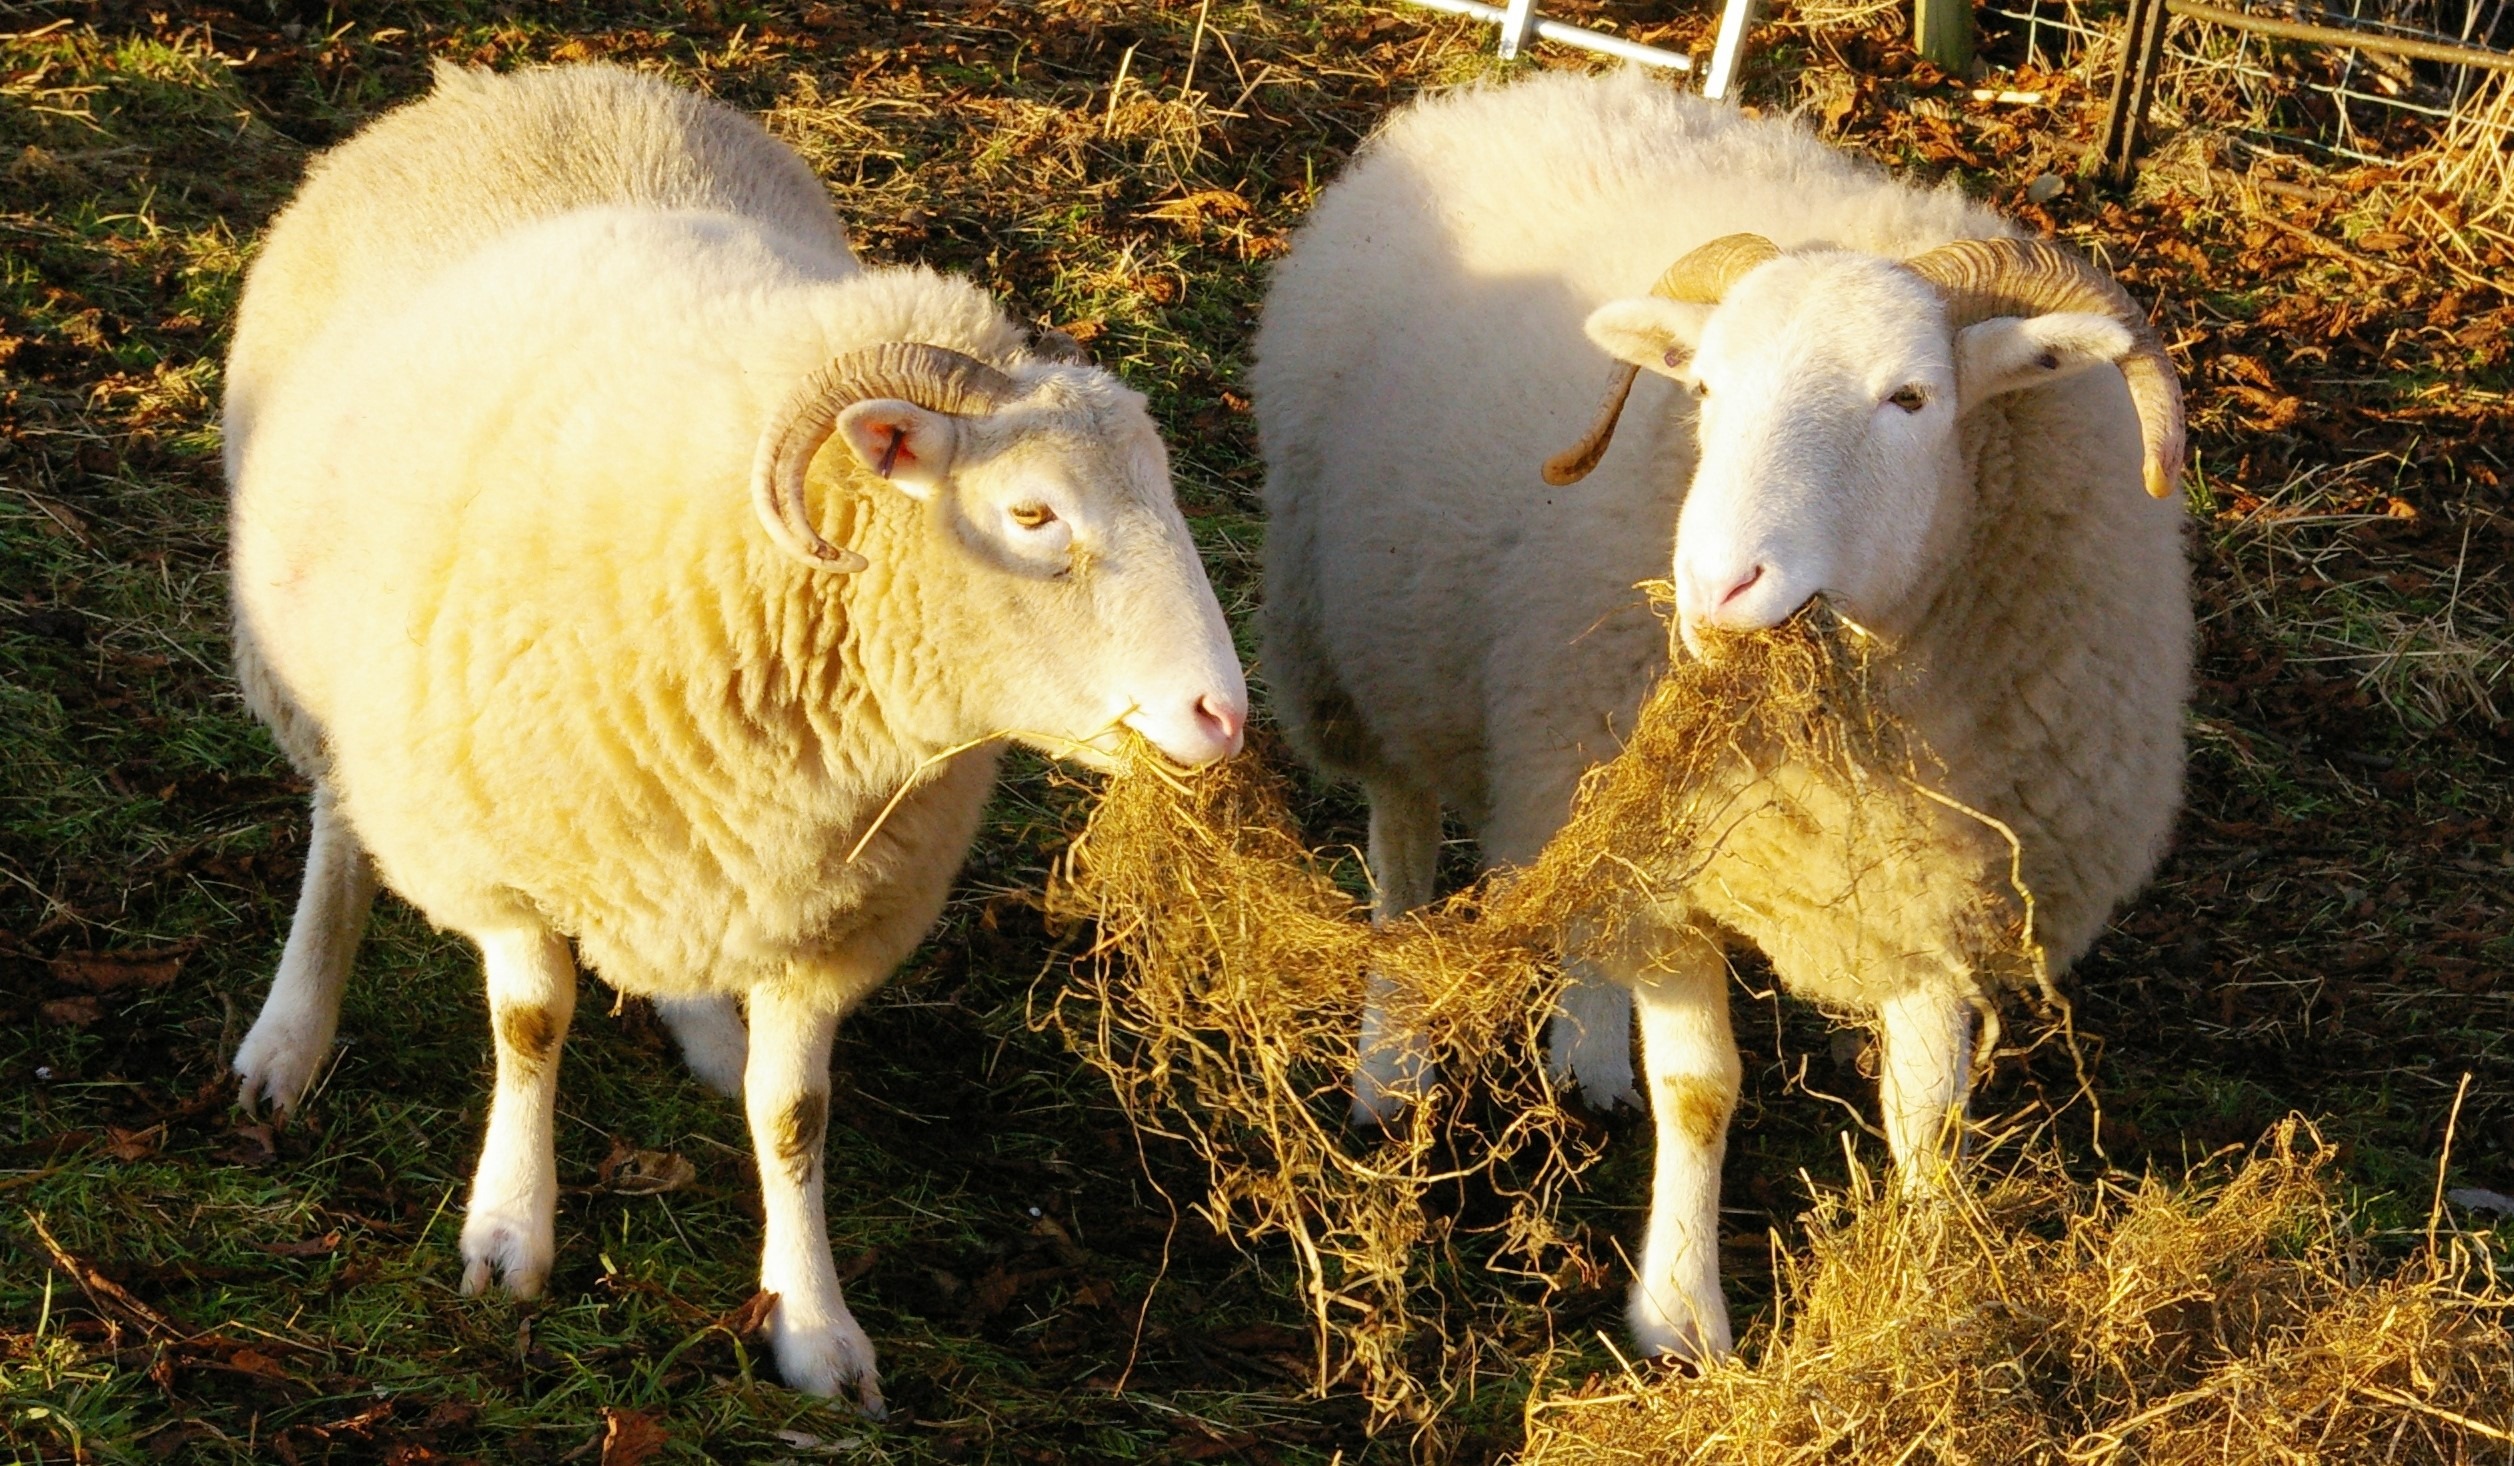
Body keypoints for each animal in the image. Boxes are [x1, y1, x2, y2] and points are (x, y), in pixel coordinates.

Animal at [223, 63, 1247, 1414]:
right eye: (1032, 513)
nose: (1223, 714)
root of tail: (526, 80)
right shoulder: (499, 849)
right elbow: (531, 1026)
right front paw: (509, 1230)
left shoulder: (834, 912)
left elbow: (793, 1109)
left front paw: (815, 1323)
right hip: (324, 681)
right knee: (340, 830)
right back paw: (290, 1031)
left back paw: (703, 1022)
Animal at [1250, 69, 2190, 1361]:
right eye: (1702, 389)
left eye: (1912, 397)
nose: (1716, 588)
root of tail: (1520, 88)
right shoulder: (1684, 867)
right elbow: (1703, 1091)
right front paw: (1683, 1319)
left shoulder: (1934, 883)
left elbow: (1928, 1109)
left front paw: (1931, 1290)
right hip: (1366, 648)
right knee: (1400, 861)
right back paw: (1391, 1071)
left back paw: (1586, 1048)